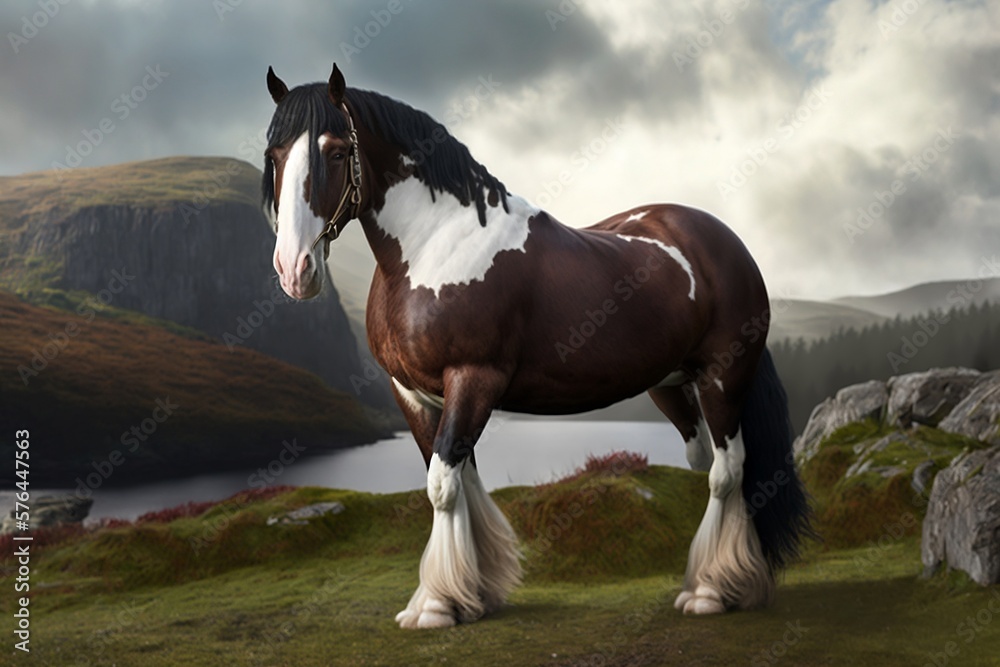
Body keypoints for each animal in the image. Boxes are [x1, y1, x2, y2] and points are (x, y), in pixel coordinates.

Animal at [262, 63, 811, 629]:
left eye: (334, 152)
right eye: (274, 155)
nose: (295, 269)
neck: (435, 246)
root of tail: (726, 241)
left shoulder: (473, 379)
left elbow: (443, 486)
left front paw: (436, 605)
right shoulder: (411, 394)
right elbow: (459, 480)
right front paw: (473, 596)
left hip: (723, 377)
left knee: (728, 471)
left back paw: (712, 591)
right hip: (672, 385)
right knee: (705, 460)